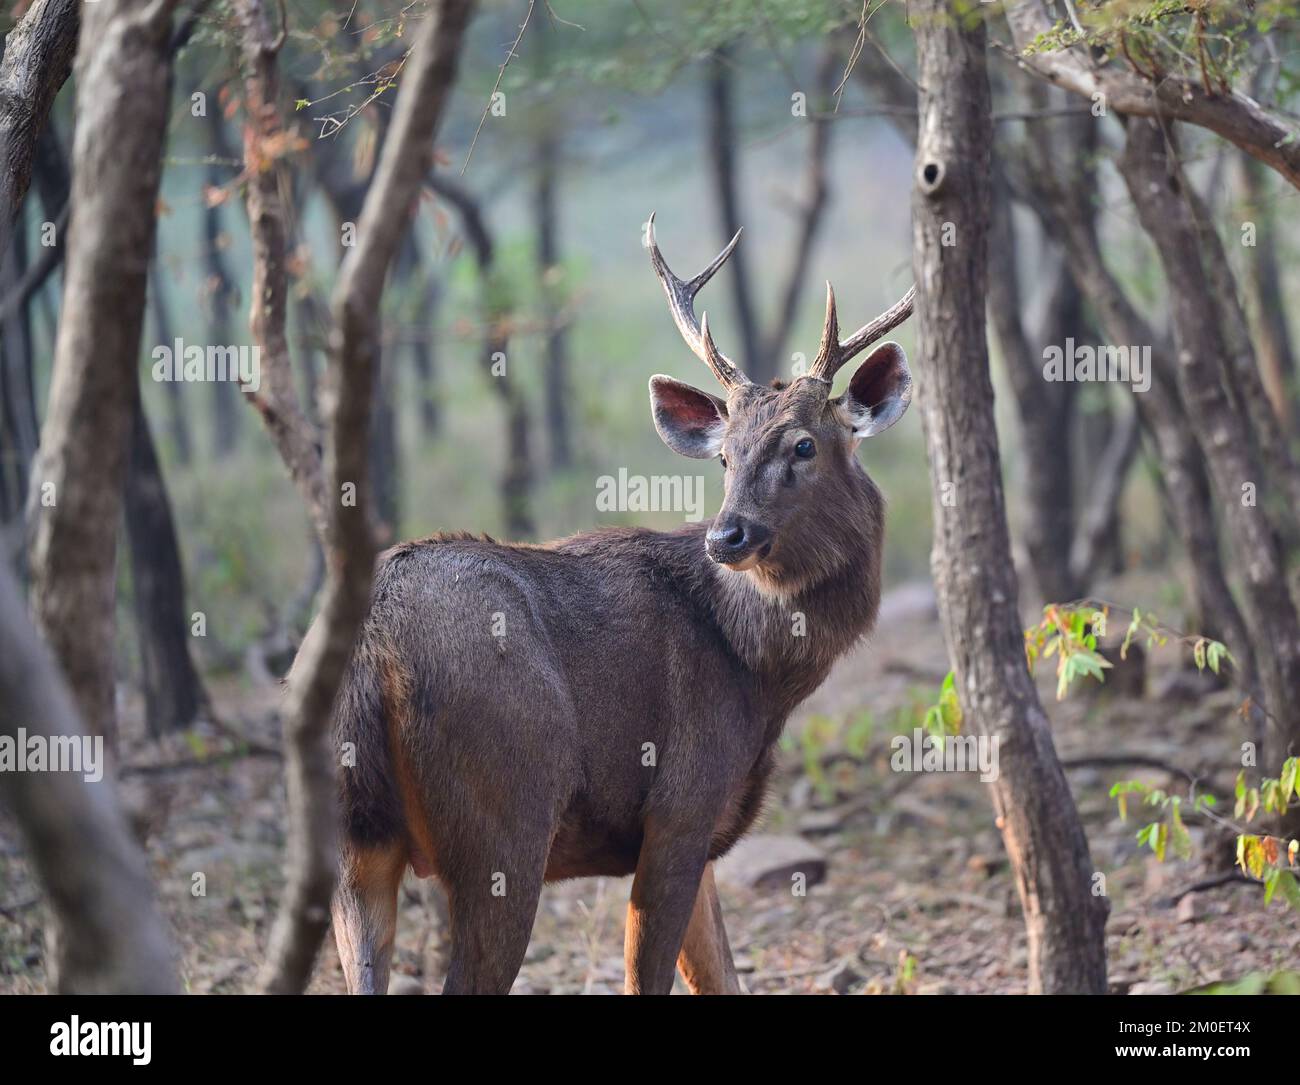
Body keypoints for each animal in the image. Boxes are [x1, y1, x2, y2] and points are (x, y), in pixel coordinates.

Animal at [320, 214, 915, 994]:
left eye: (804, 445)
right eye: (726, 456)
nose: (727, 535)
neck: (757, 678)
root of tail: (372, 647)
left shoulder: (700, 833)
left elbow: (722, 976)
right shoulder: (681, 804)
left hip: (350, 843)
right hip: (504, 818)